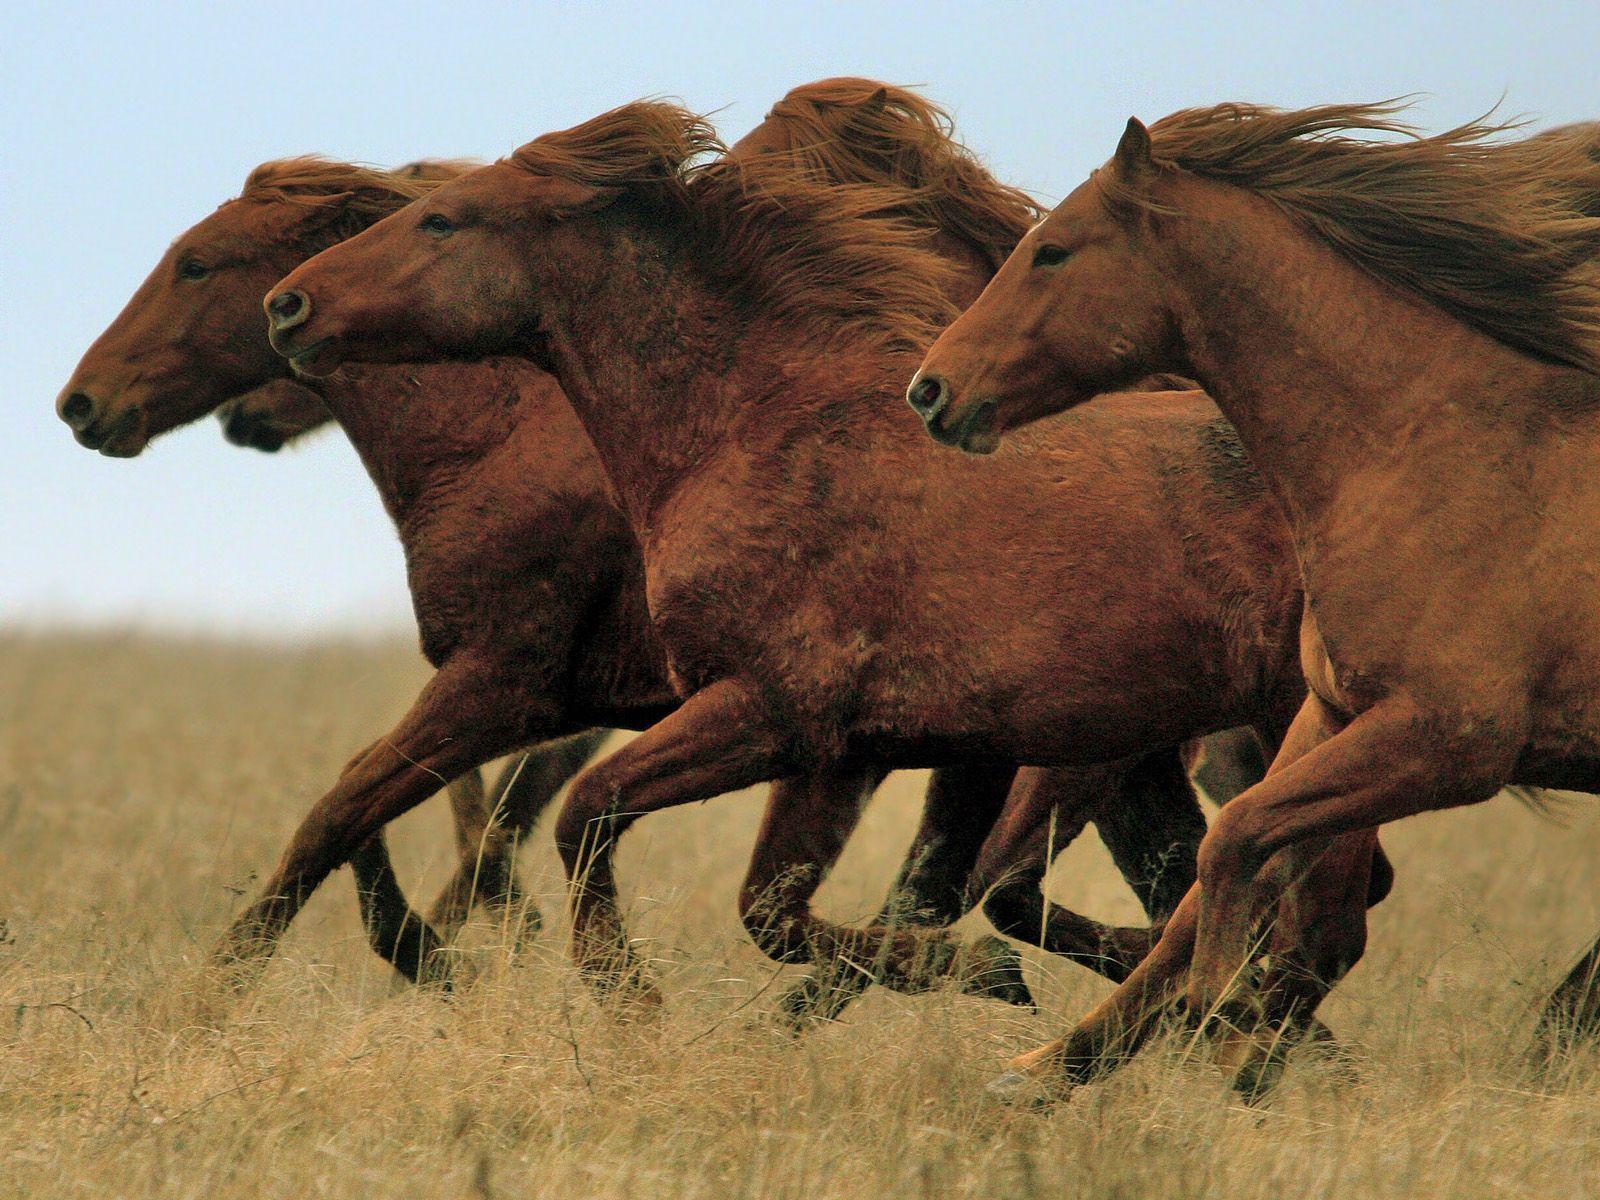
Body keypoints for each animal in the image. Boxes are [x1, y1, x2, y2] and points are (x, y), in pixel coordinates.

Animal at [56, 95, 1228, 1012]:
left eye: (194, 263)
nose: (82, 404)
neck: (497, 439)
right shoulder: (551, 699)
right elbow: (404, 810)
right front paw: (447, 955)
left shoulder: (512, 681)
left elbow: (357, 813)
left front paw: (248, 987)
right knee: (1089, 879)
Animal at [911, 100, 1600, 1096]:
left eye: (1053, 251)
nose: (930, 390)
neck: (1421, 453)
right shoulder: (1331, 714)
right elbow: (1204, 886)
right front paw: (1049, 1071)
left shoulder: (1451, 740)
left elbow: (1233, 841)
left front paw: (1225, 1015)